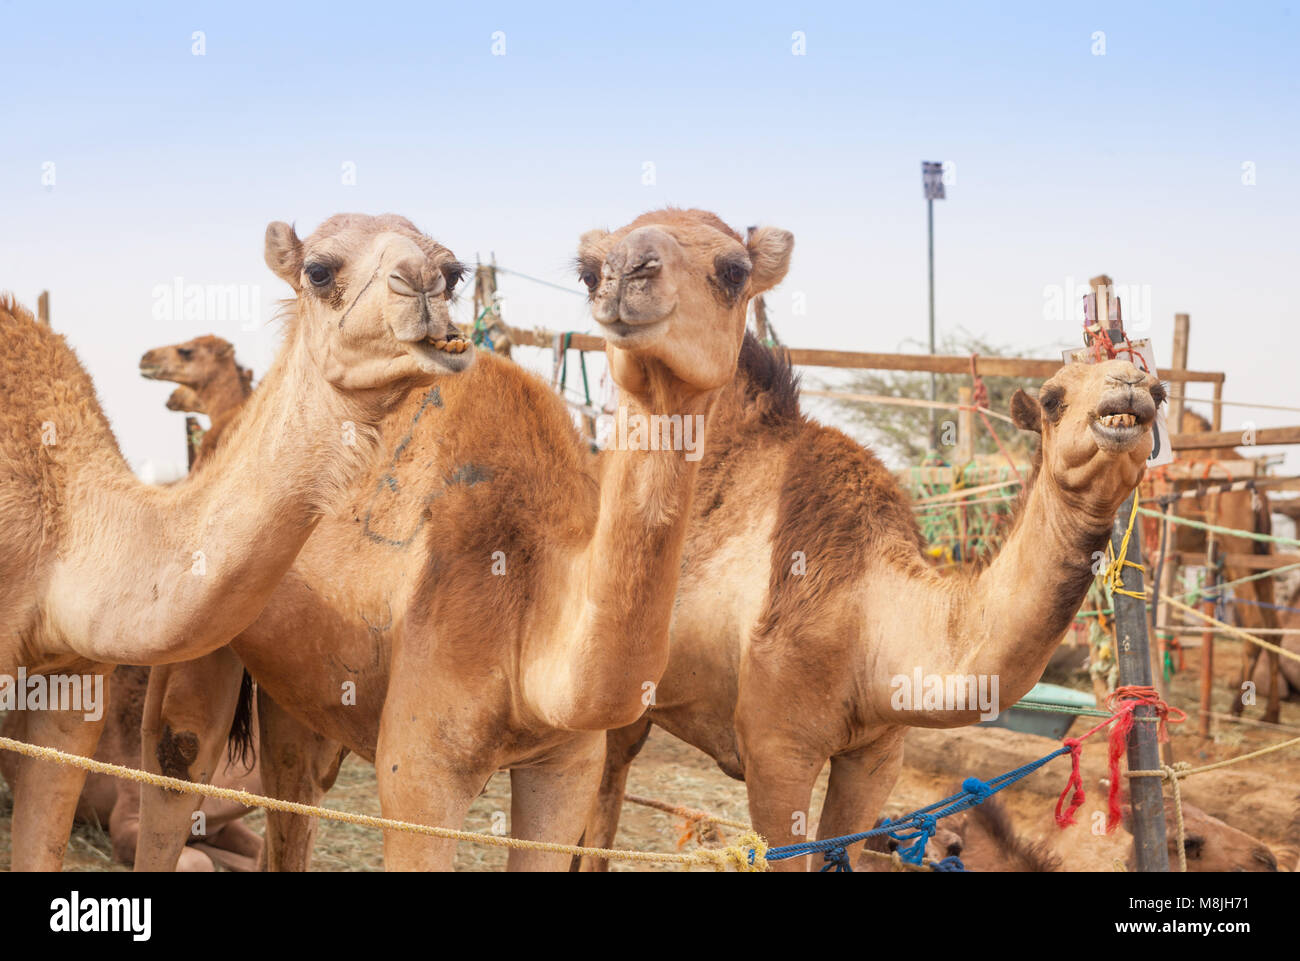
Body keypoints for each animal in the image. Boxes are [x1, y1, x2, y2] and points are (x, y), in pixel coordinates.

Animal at [578, 352, 1165, 870]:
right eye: (1051, 398)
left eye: (1159, 392)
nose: (1131, 387)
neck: (868, 615)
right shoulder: (776, 751)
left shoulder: (878, 756)